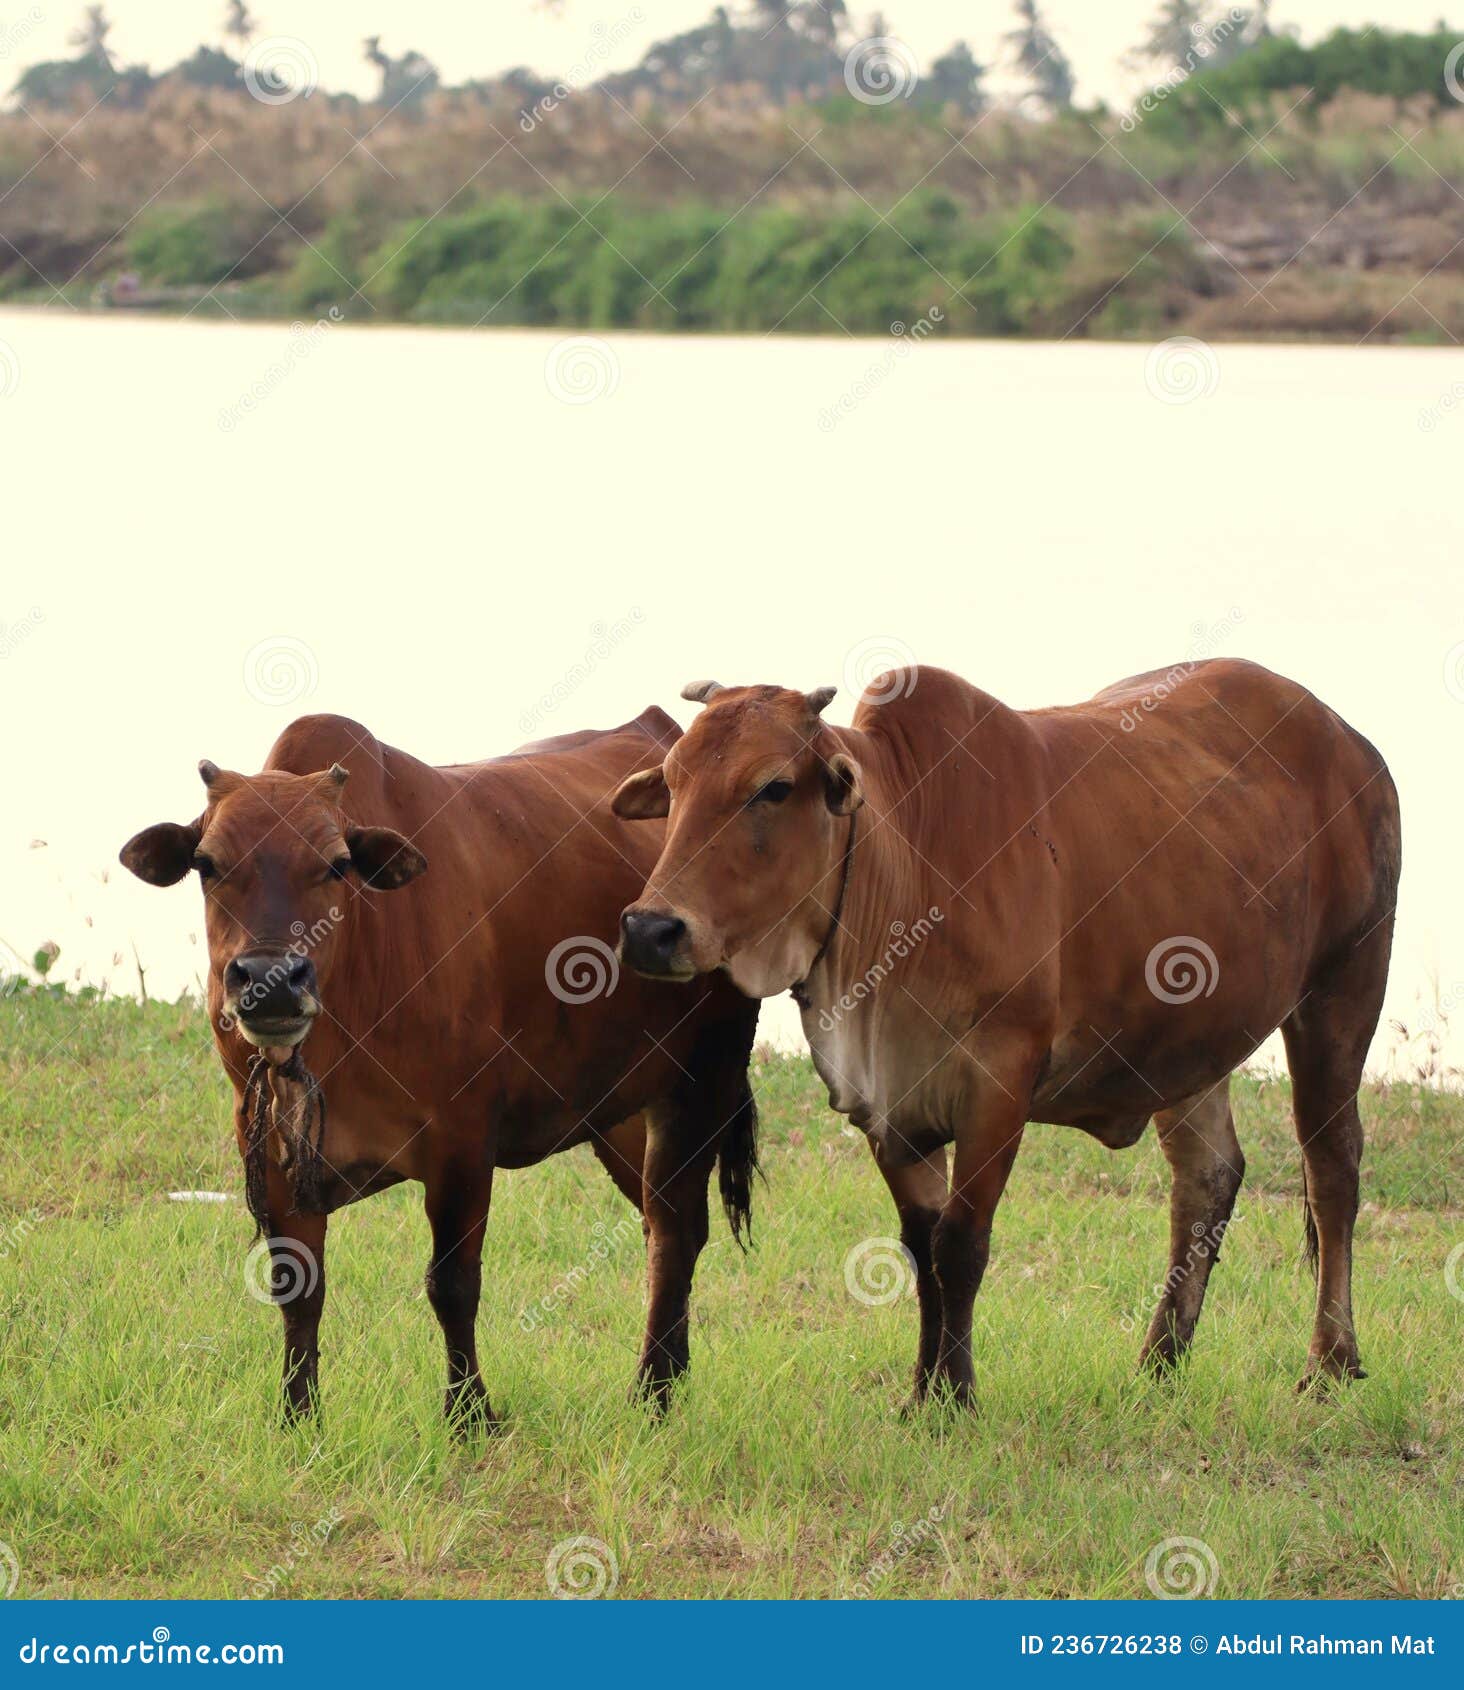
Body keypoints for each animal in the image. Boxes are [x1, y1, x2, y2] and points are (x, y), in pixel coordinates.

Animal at [120, 709, 759, 1428]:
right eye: (206, 864)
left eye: (337, 865)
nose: (271, 981)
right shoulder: (272, 1151)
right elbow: (298, 1287)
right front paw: (298, 1415)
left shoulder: (462, 1143)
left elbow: (452, 1284)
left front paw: (470, 1414)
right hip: (617, 1112)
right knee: (658, 1225)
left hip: (702, 1081)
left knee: (677, 1231)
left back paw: (653, 1392)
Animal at [611, 659, 1400, 1409]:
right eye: (675, 781)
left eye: (772, 787)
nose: (651, 928)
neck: (905, 859)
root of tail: (1350, 740)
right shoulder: (883, 1100)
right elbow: (920, 1245)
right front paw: (922, 1393)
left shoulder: (999, 1078)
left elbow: (961, 1244)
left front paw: (957, 1397)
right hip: (1193, 1040)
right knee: (1206, 1179)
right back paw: (1159, 1364)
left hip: (1343, 990)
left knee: (1333, 1168)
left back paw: (1330, 1362)